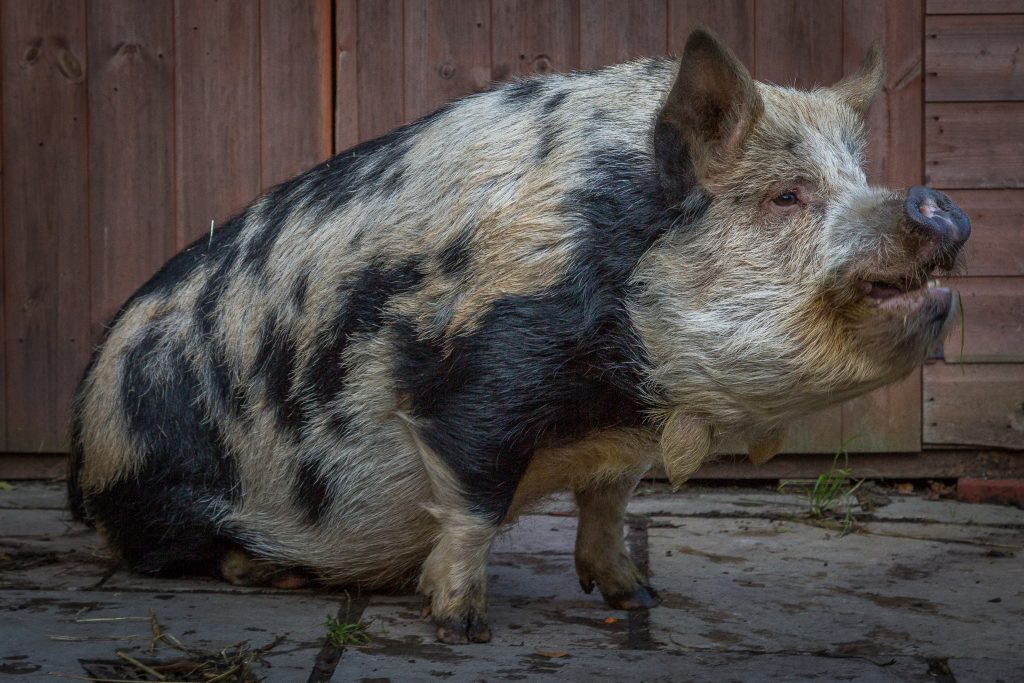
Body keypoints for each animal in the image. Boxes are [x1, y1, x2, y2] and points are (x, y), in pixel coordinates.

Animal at [68, 29, 970, 644]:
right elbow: (476, 497)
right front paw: (462, 625)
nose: (938, 203)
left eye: (858, 177)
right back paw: (271, 569)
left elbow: (609, 504)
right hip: (158, 493)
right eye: (786, 195)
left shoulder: (617, 438)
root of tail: (81, 442)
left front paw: (639, 598)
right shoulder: (477, 374)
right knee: (165, 549)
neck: (617, 385)